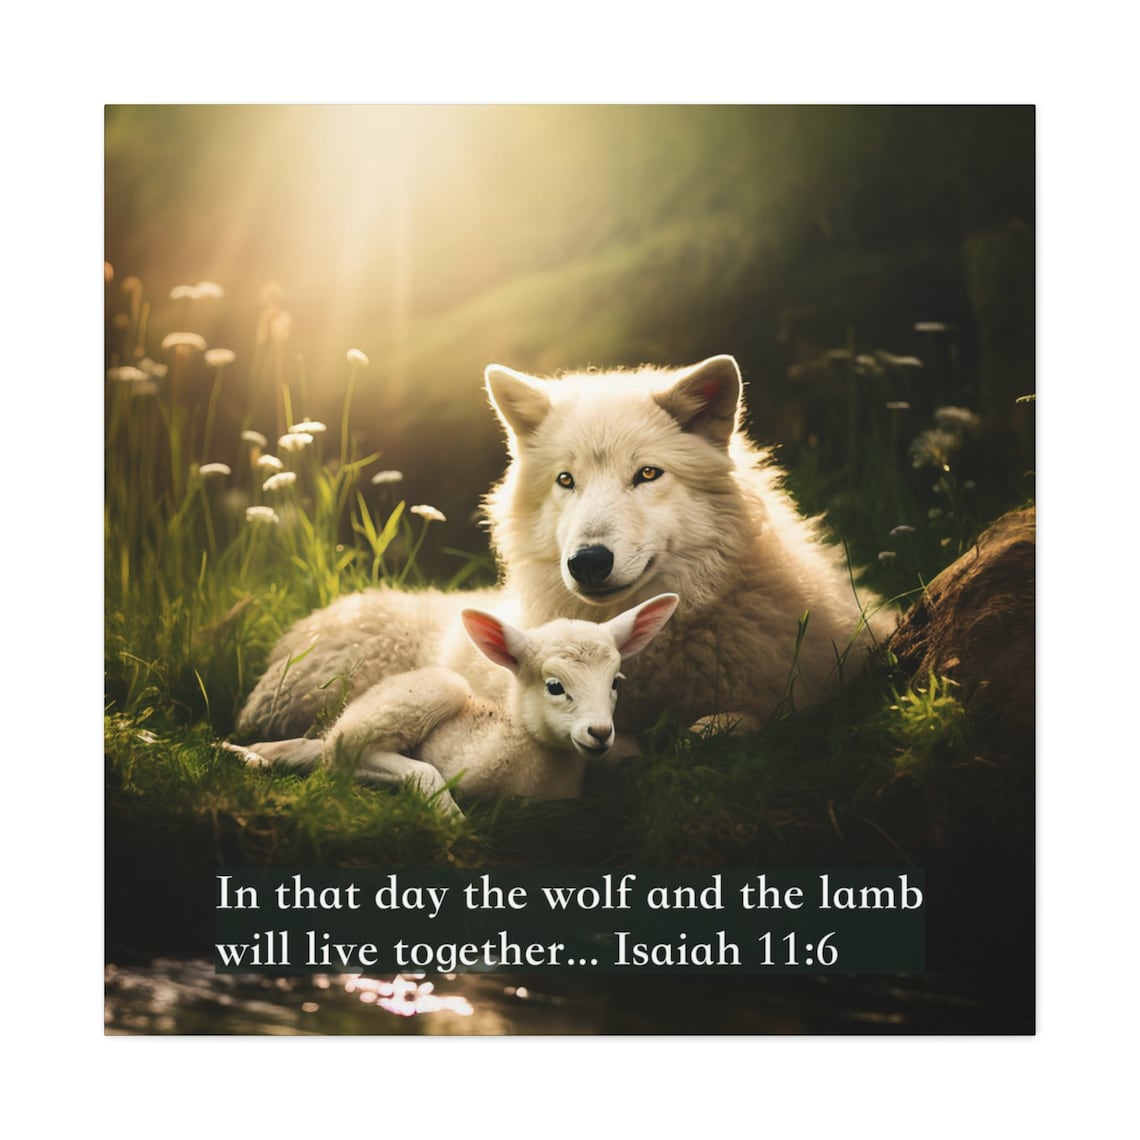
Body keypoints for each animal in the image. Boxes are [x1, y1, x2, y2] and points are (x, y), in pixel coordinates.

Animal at [231, 593, 679, 815]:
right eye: (554, 686)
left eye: (615, 682)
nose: (600, 733)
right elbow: (422, 771)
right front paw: (449, 817)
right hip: (429, 693)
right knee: (337, 750)